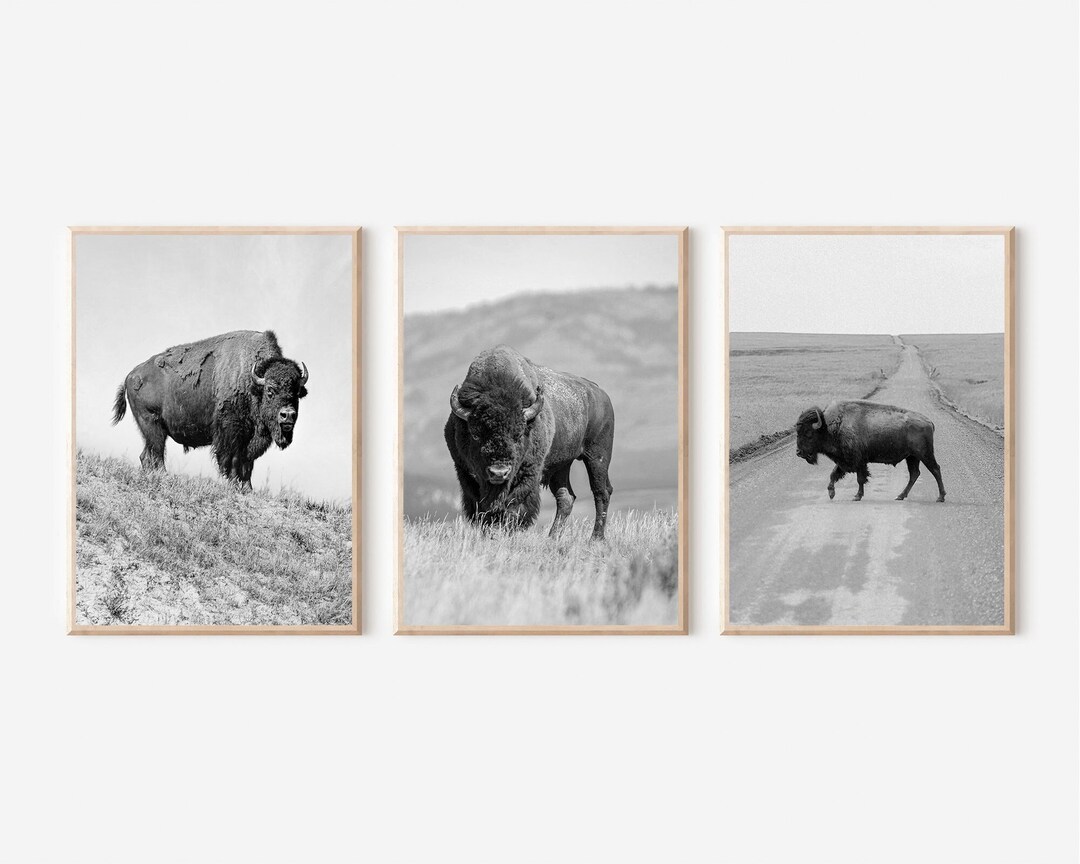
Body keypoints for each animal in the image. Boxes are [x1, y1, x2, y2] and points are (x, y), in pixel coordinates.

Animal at [112, 330, 308, 490]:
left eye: (296, 393)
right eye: (270, 391)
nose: (287, 415)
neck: (252, 383)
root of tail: (130, 376)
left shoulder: (250, 440)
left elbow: (247, 464)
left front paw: (248, 489)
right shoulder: (231, 433)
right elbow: (232, 460)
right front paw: (232, 484)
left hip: (152, 430)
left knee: (147, 455)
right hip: (153, 425)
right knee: (157, 453)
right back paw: (164, 476)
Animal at [444, 345, 615, 539]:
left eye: (518, 434)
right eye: (475, 434)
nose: (499, 472)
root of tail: (600, 394)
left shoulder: (529, 473)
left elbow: (514, 506)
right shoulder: (465, 472)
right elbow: (482, 509)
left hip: (597, 456)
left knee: (601, 492)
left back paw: (596, 538)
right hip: (561, 465)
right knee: (566, 497)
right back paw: (552, 537)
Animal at [795, 400, 946, 502]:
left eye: (808, 433)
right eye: (798, 432)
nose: (798, 452)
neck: (831, 426)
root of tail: (929, 422)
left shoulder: (858, 461)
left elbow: (860, 479)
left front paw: (857, 496)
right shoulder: (844, 460)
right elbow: (833, 474)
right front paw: (831, 493)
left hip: (925, 454)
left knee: (935, 470)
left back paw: (940, 497)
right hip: (912, 457)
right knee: (914, 474)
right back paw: (900, 496)